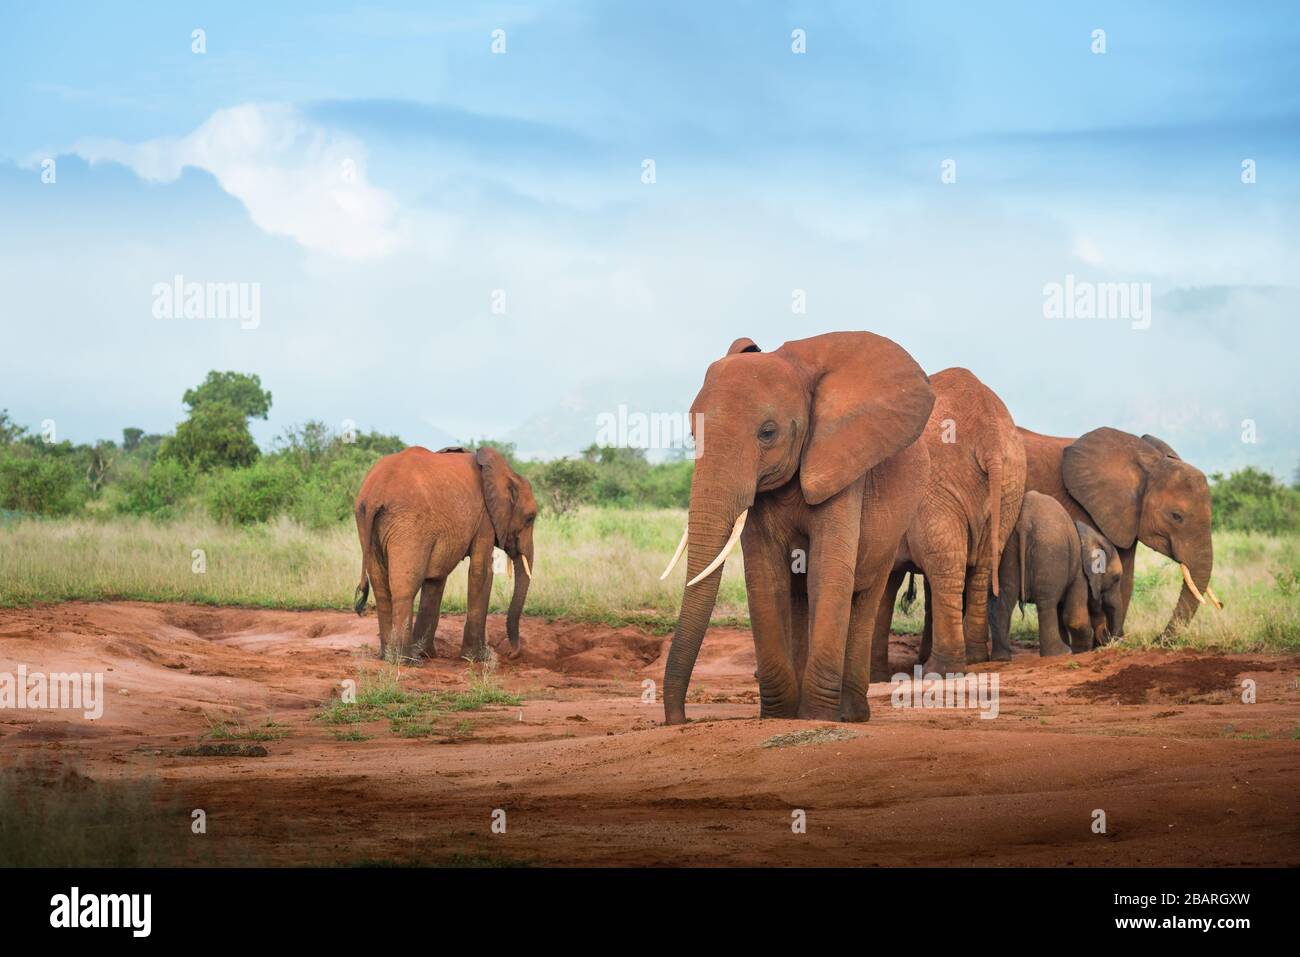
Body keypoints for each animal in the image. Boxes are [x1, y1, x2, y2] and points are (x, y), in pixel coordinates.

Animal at [353, 446, 537, 663]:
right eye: (530, 518)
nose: (511, 654)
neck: (508, 474)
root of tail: (374, 494)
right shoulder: (484, 518)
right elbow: (481, 572)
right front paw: (477, 658)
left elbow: (435, 579)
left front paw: (427, 653)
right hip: (408, 524)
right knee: (405, 585)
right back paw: (406, 660)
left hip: (367, 523)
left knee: (381, 586)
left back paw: (389, 656)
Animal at [658, 331, 936, 725]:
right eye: (694, 437)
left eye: (768, 433)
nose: (680, 719)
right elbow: (765, 576)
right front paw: (779, 716)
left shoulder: (841, 467)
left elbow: (827, 572)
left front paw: (816, 716)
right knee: (799, 596)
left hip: (895, 527)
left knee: (866, 595)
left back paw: (851, 715)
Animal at [869, 367, 1026, 679]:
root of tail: (989, 435)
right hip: (1009, 487)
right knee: (979, 568)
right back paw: (972, 659)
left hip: (935, 484)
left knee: (946, 568)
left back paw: (939, 670)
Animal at [988, 491, 1095, 659]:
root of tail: (1025, 521)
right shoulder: (1079, 570)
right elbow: (1075, 617)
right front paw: (1081, 651)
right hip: (1051, 547)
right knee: (1047, 602)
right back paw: (1060, 653)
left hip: (1008, 547)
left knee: (1005, 596)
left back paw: (1001, 658)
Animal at [1019, 426, 1220, 639]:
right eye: (1176, 516)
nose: (1158, 638)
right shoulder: (1082, 508)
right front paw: (1101, 638)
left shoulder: (1125, 519)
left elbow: (1126, 575)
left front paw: (1112, 639)